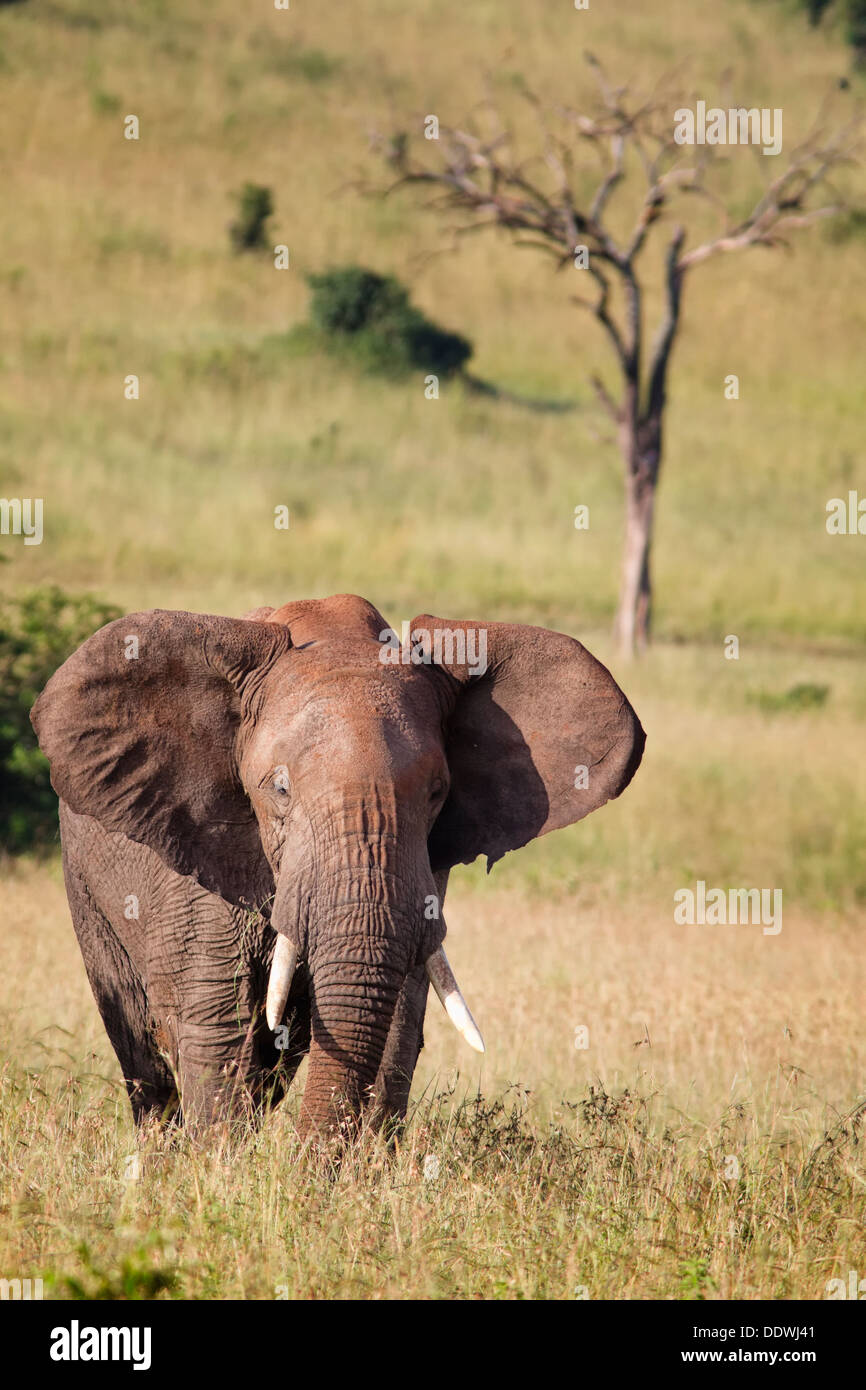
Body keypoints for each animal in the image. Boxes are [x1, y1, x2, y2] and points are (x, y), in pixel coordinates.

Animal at [31, 594, 645, 1143]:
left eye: (437, 793)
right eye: (279, 789)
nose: (303, 1169)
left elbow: (396, 1016)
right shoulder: (197, 871)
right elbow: (216, 1024)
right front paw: (219, 1172)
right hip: (87, 894)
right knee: (143, 1054)